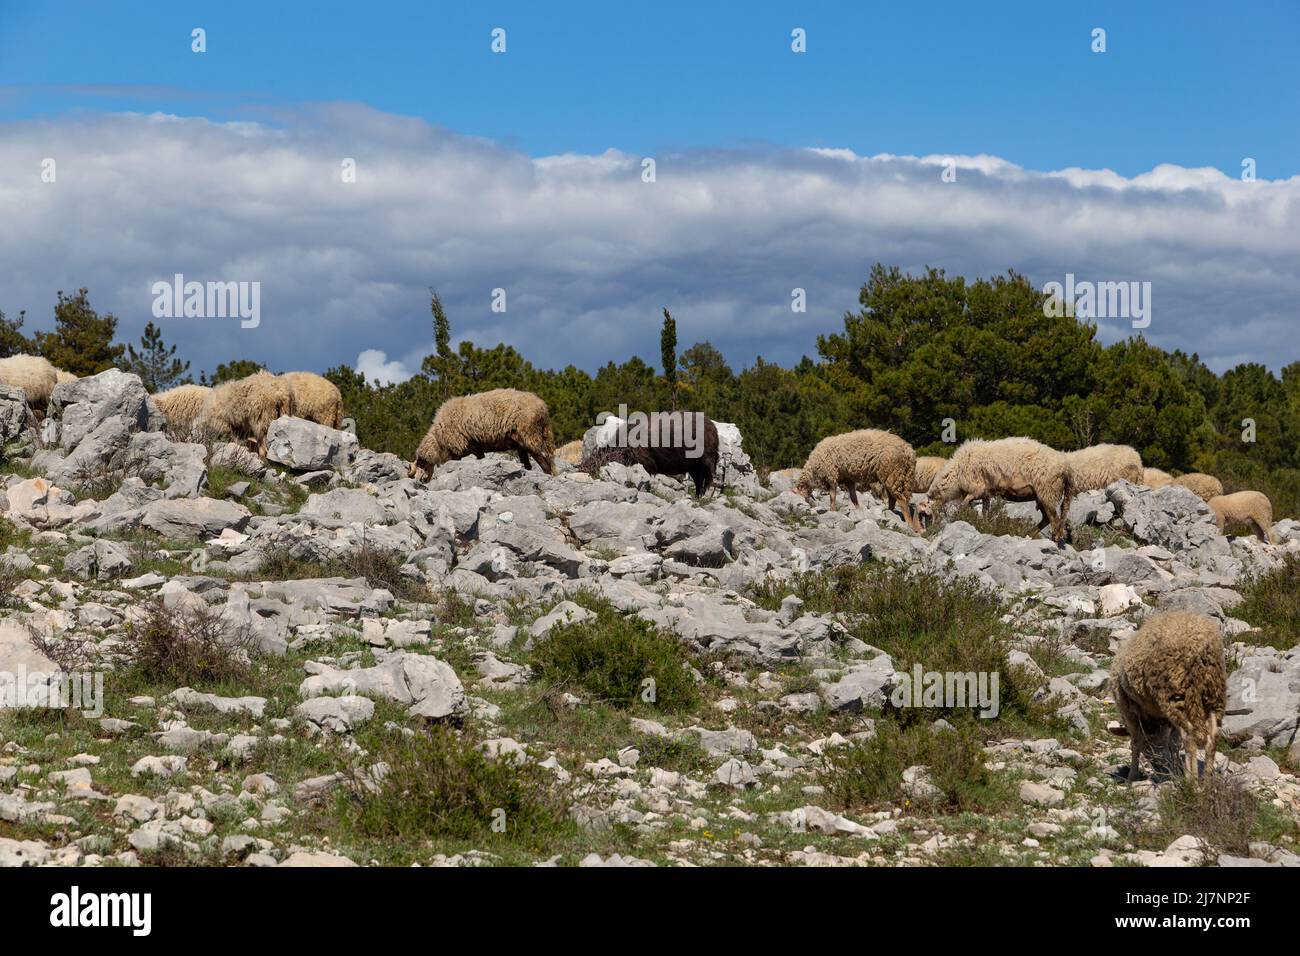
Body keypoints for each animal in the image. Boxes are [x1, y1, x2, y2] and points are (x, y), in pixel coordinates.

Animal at [410, 388, 556, 480]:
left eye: (422, 464)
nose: (421, 481)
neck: (439, 440)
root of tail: (542, 406)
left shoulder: (457, 448)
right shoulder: (476, 448)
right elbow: (481, 458)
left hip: (530, 435)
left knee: (545, 461)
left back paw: (549, 476)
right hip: (524, 441)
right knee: (529, 464)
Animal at [578, 412, 720, 497]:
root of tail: (712, 426)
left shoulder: (646, 462)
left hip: (706, 459)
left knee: (708, 478)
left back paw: (703, 494)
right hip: (693, 465)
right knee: (699, 480)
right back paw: (697, 496)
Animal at [919, 437, 1073, 544]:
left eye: (926, 515)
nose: (928, 533)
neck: (956, 474)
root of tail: (1065, 467)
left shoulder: (976, 488)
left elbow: (964, 504)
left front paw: (959, 518)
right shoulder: (985, 493)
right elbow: (985, 511)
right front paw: (984, 526)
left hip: (1047, 491)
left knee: (1055, 520)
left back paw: (1054, 540)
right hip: (1041, 496)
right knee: (1048, 519)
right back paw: (1029, 533)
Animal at [1110, 611, 1227, 782]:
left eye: (1147, 749)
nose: (1159, 768)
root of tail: (1198, 646)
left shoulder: (1126, 707)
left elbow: (1136, 740)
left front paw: (1132, 776)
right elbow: (1173, 744)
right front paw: (1176, 770)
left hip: (1174, 693)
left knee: (1190, 736)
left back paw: (1192, 781)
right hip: (1213, 694)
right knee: (1213, 736)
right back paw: (1207, 781)